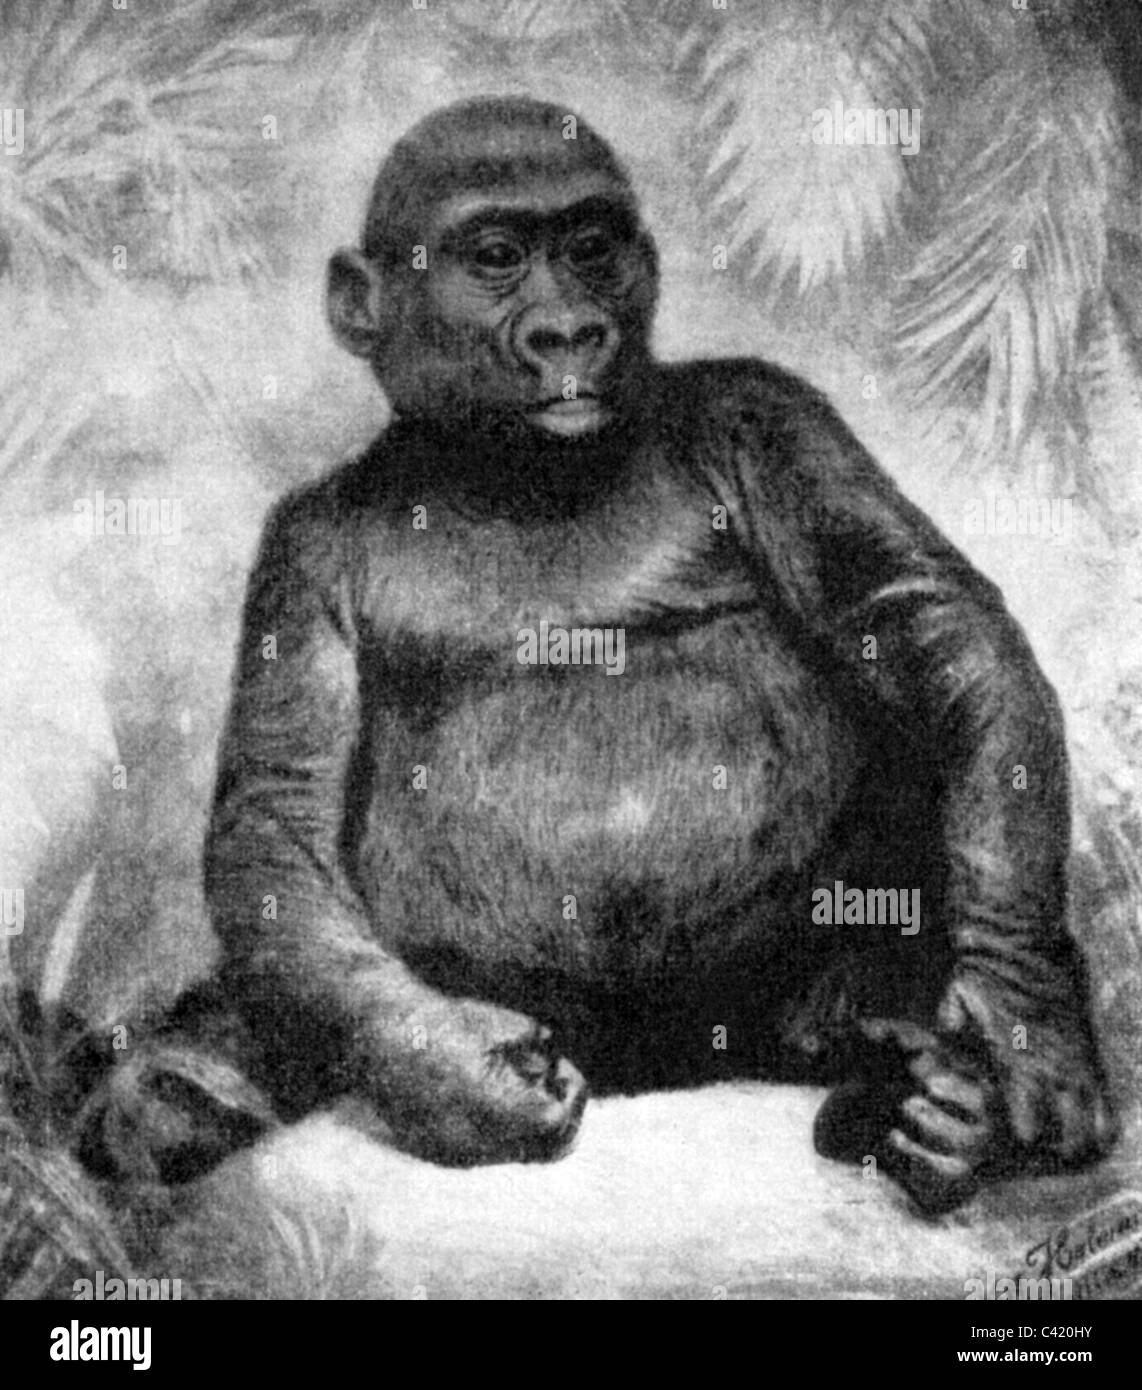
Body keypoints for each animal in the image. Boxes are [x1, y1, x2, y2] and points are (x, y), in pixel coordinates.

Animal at [193, 94, 1114, 1214]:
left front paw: (1022, 1017)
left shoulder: (770, 419)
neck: (505, 468)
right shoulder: (302, 549)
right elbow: (279, 808)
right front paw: (451, 1070)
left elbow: (932, 625)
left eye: (591, 249)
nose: (569, 330)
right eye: (496, 256)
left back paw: (938, 1106)